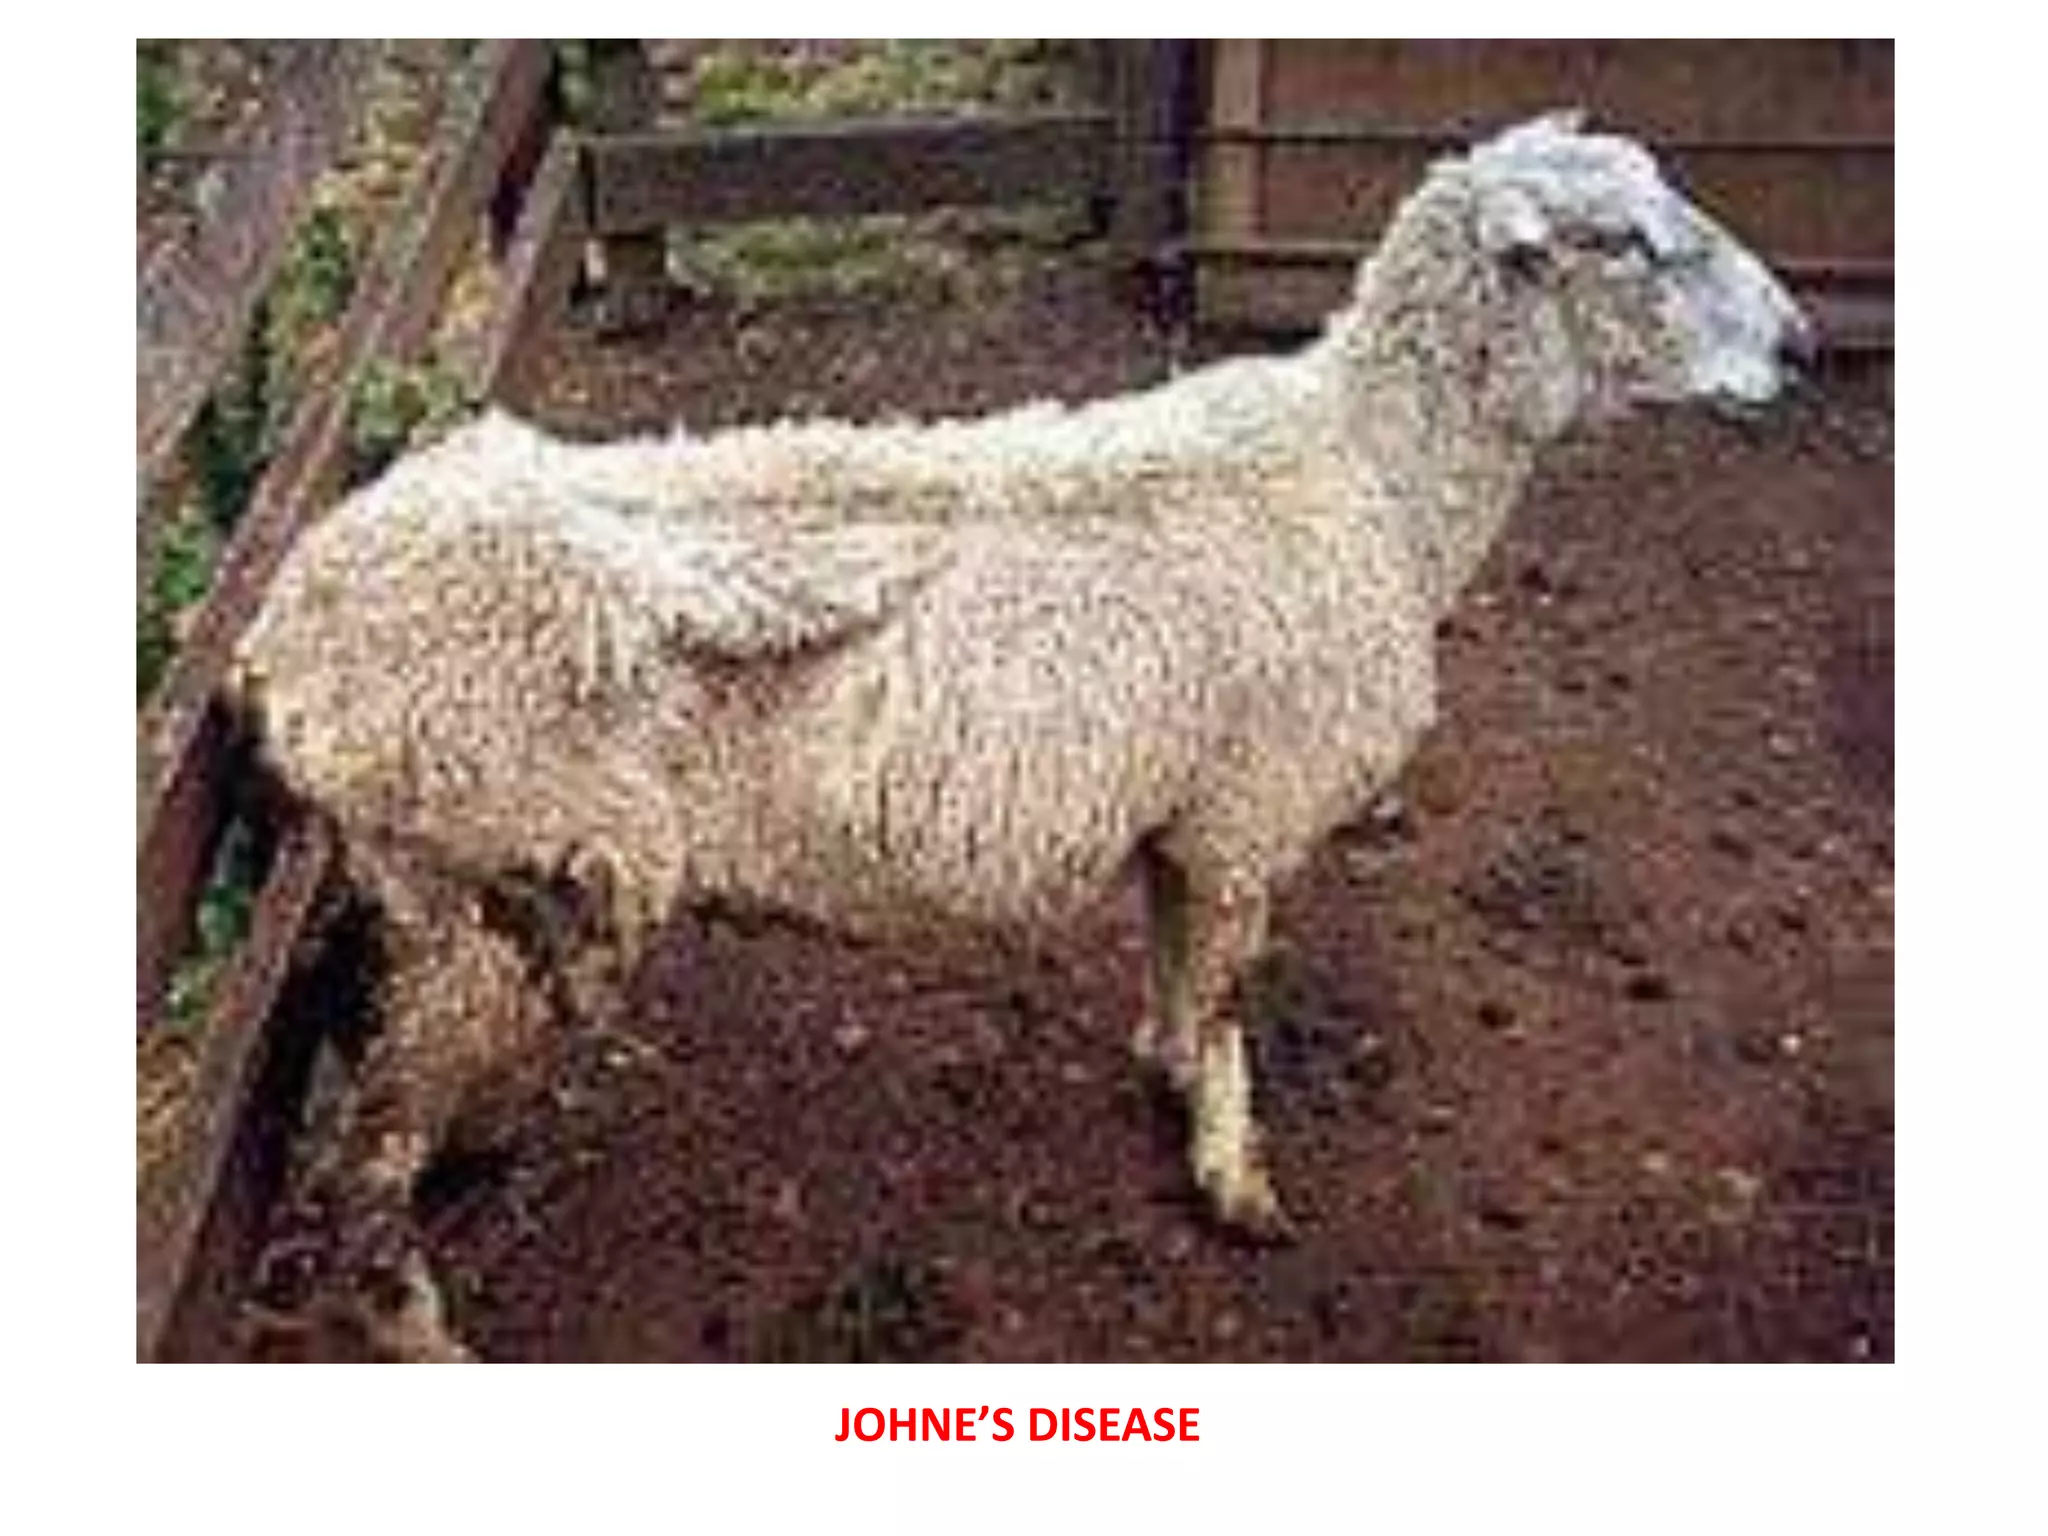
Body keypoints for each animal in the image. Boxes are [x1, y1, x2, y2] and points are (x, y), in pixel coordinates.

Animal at [231, 112, 1812, 1359]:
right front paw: (1231, 1176)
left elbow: (1179, 966)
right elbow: (1230, 990)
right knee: (360, 1165)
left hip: (442, 894)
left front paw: (1166, 1070)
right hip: (498, 869)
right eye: (1630, 245)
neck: (1371, 477)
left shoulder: (1190, 818)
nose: (1799, 346)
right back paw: (418, 1326)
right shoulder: (1248, 813)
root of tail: (286, 635)